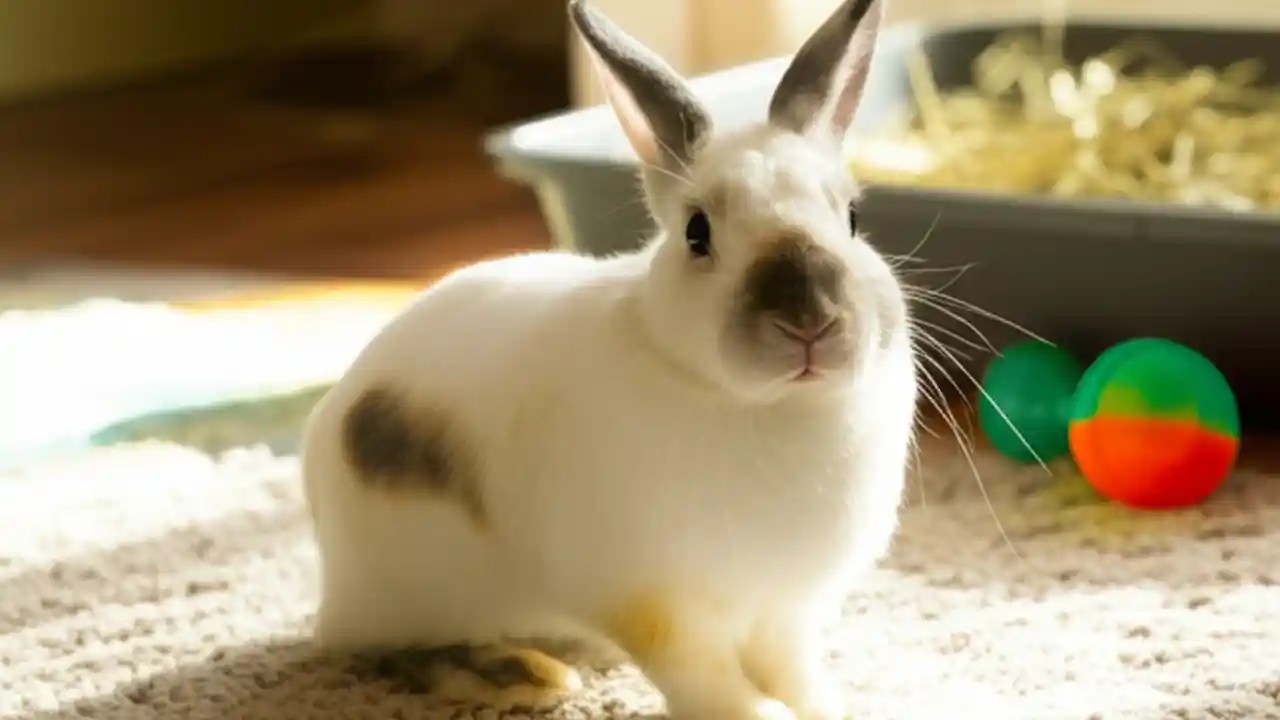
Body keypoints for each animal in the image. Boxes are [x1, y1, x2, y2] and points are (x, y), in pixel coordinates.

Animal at [299, 0, 917, 718]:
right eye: (697, 233)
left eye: (852, 218)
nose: (810, 319)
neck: (774, 405)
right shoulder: (655, 603)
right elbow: (700, 671)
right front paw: (757, 713)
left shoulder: (787, 605)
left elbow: (789, 662)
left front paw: (825, 706)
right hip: (412, 592)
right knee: (376, 649)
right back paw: (519, 675)